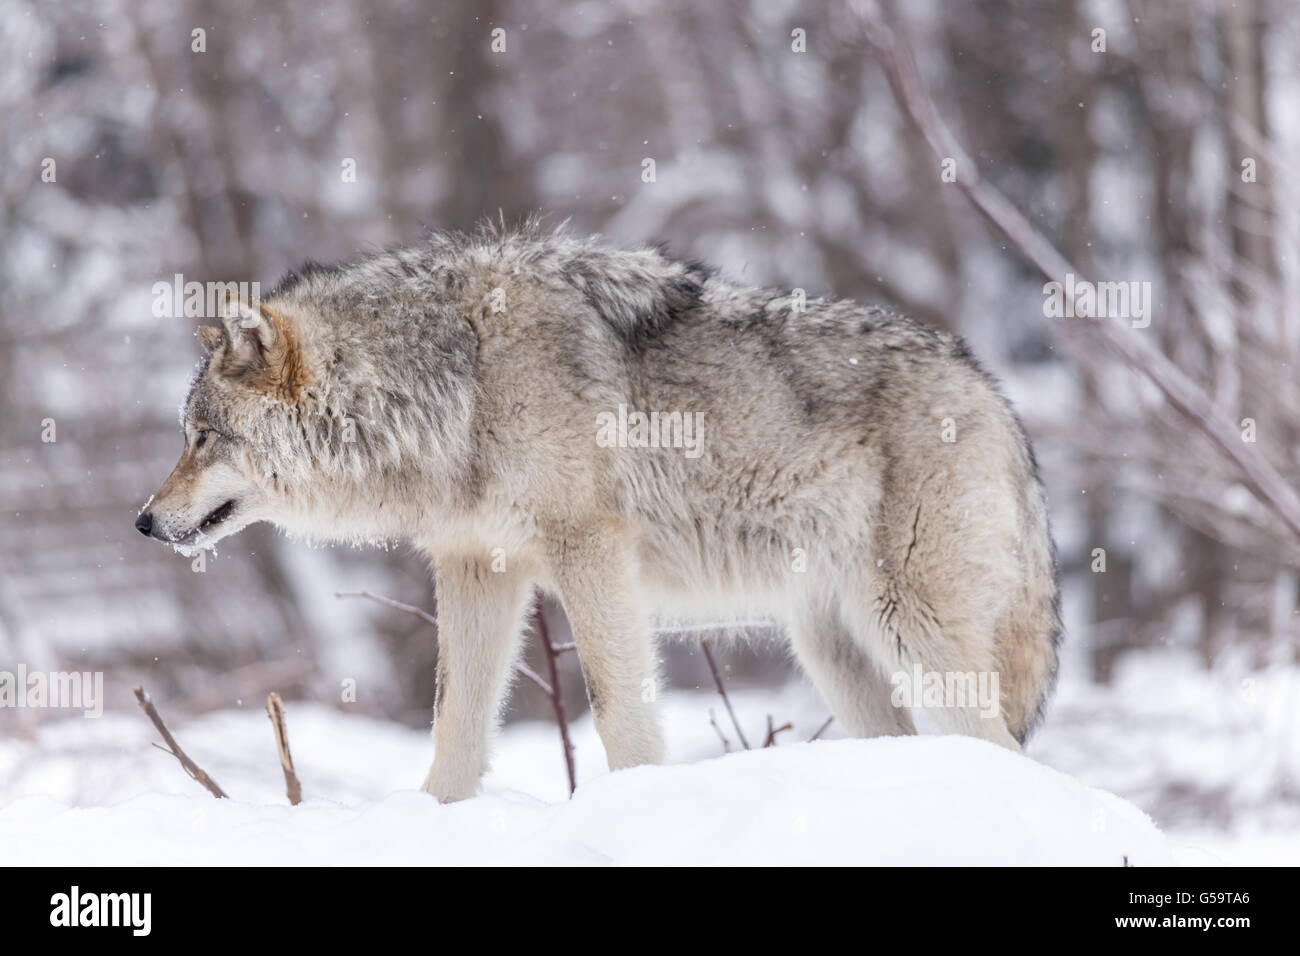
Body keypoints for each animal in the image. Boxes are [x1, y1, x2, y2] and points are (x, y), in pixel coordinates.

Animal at [136, 223, 1060, 802]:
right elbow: (455, 726)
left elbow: (621, 712)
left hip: (915, 635)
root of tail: (994, 392)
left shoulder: (590, 551)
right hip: (836, 649)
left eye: (202, 438)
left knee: (1010, 752)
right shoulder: (478, 565)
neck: (456, 383)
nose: (143, 522)